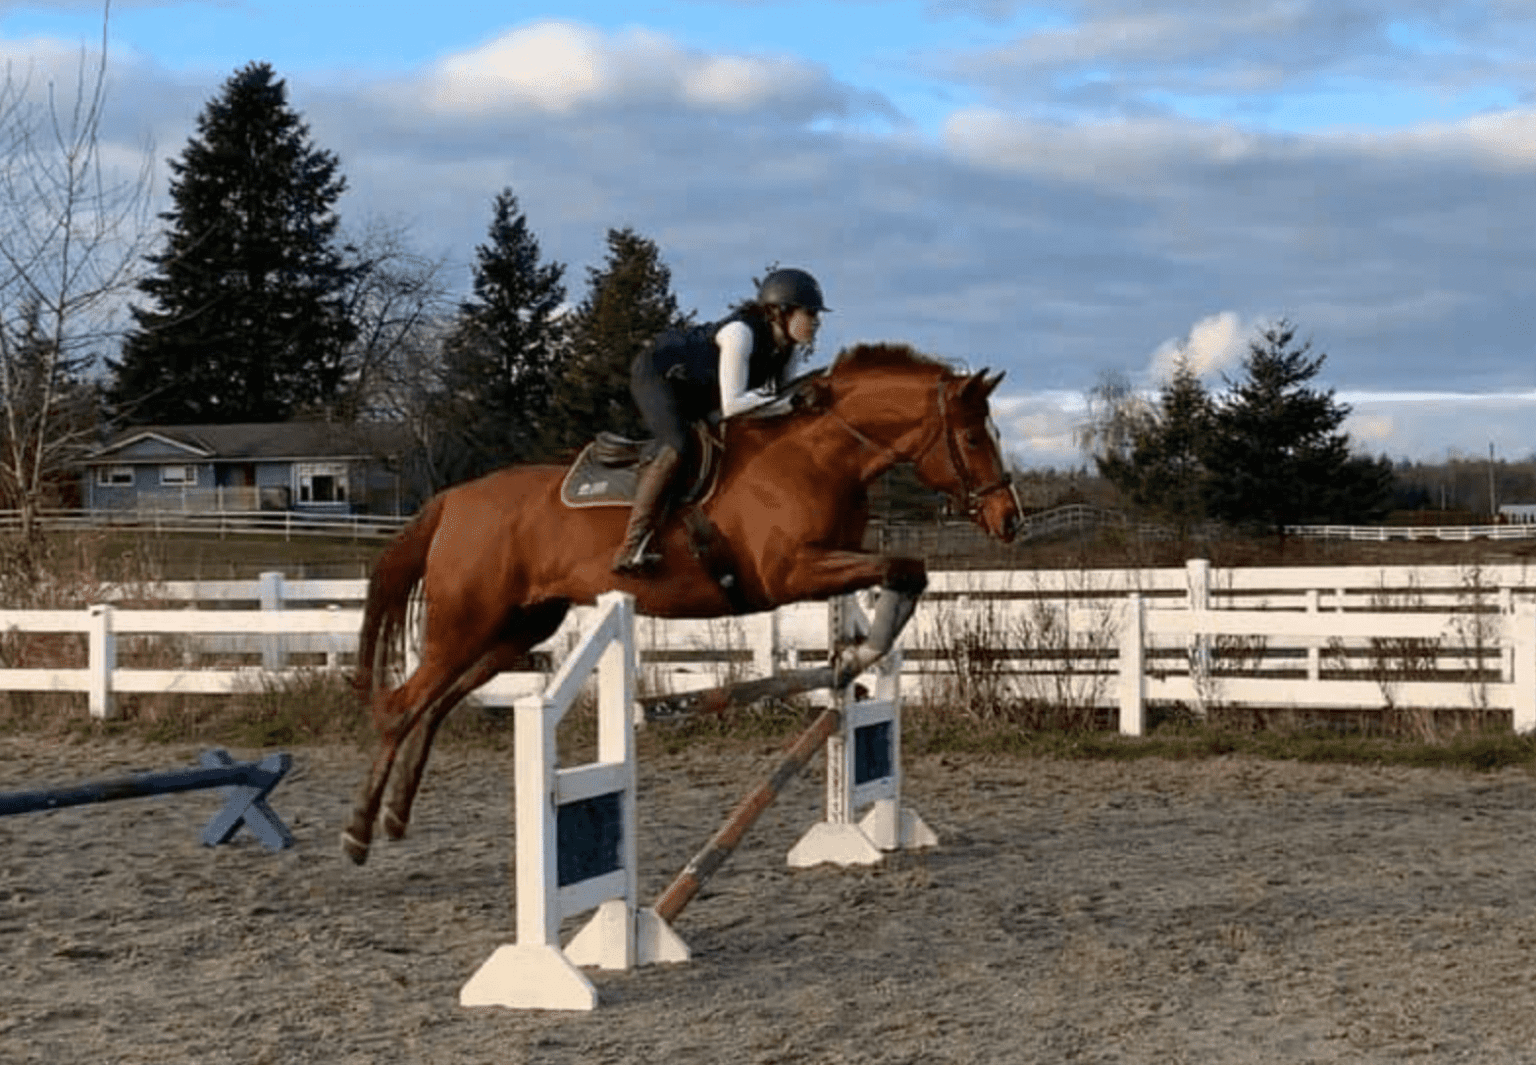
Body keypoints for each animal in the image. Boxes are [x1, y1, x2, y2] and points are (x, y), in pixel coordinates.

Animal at [343, 341, 1023, 864]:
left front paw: (852, 659)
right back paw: (358, 833)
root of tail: (453, 499)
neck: (821, 455)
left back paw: (396, 816)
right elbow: (906, 569)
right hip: (467, 623)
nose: (1009, 518)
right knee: (403, 705)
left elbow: (906, 573)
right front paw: (863, 654)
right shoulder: (789, 573)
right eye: (971, 436)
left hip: (514, 630)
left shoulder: (830, 564)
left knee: (436, 705)